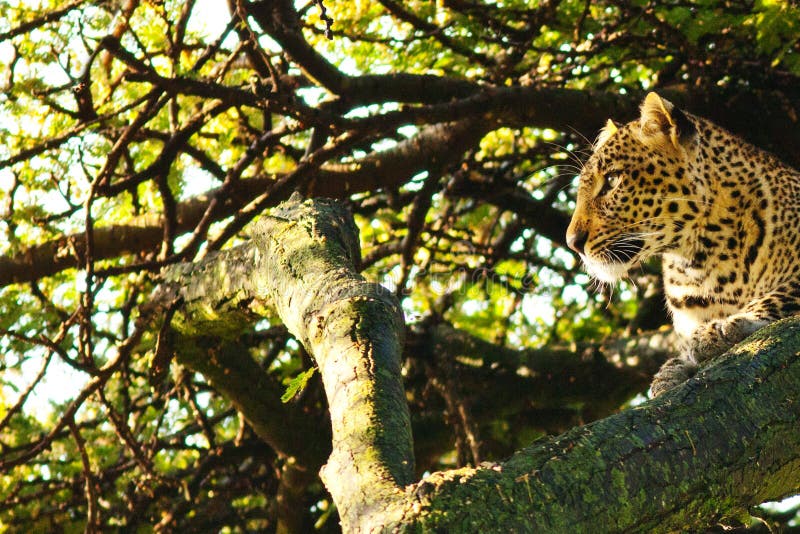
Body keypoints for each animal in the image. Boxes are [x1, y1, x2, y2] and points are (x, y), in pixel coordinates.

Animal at [566, 92, 800, 397]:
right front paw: (671, 371)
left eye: (612, 180)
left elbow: (779, 293)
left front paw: (723, 328)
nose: (572, 243)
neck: (703, 258)